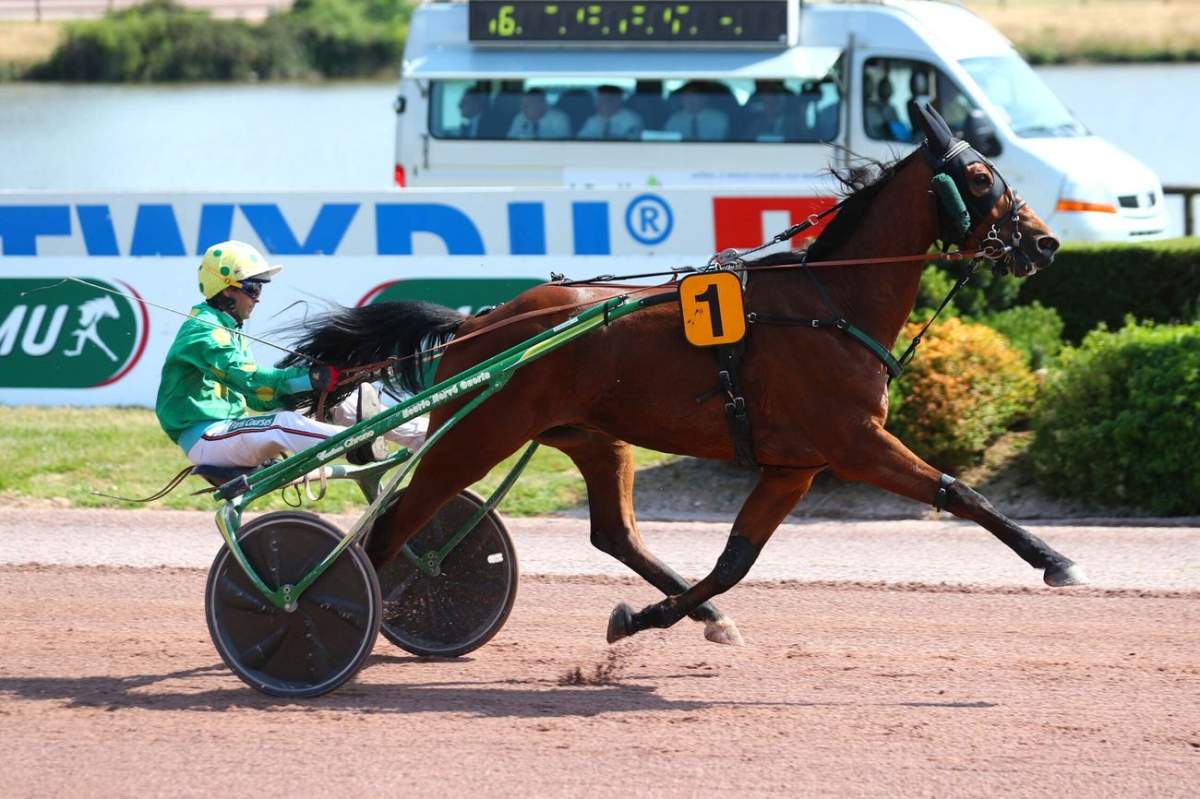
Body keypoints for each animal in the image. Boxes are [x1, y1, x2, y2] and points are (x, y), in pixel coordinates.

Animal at [283, 104, 1086, 647]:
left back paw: (698, 612)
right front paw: (1055, 559)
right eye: (979, 177)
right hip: (475, 434)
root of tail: (478, 322)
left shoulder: (794, 465)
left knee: (614, 534)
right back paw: (337, 612)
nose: (1045, 243)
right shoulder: (857, 443)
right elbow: (962, 491)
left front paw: (656, 617)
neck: (830, 303)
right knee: (393, 526)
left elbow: (734, 560)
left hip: (592, 438)